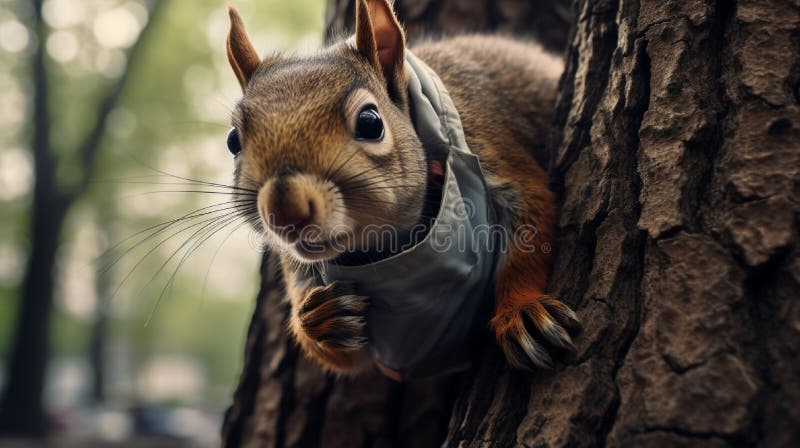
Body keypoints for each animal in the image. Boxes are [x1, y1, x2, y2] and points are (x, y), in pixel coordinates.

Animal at [224, 0, 580, 375]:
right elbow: (346, 357)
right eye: (233, 141)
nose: (285, 210)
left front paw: (521, 311)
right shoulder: (301, 268)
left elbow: (528, 230)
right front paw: (319, 319)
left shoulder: (490, 149)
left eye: (370, 122)